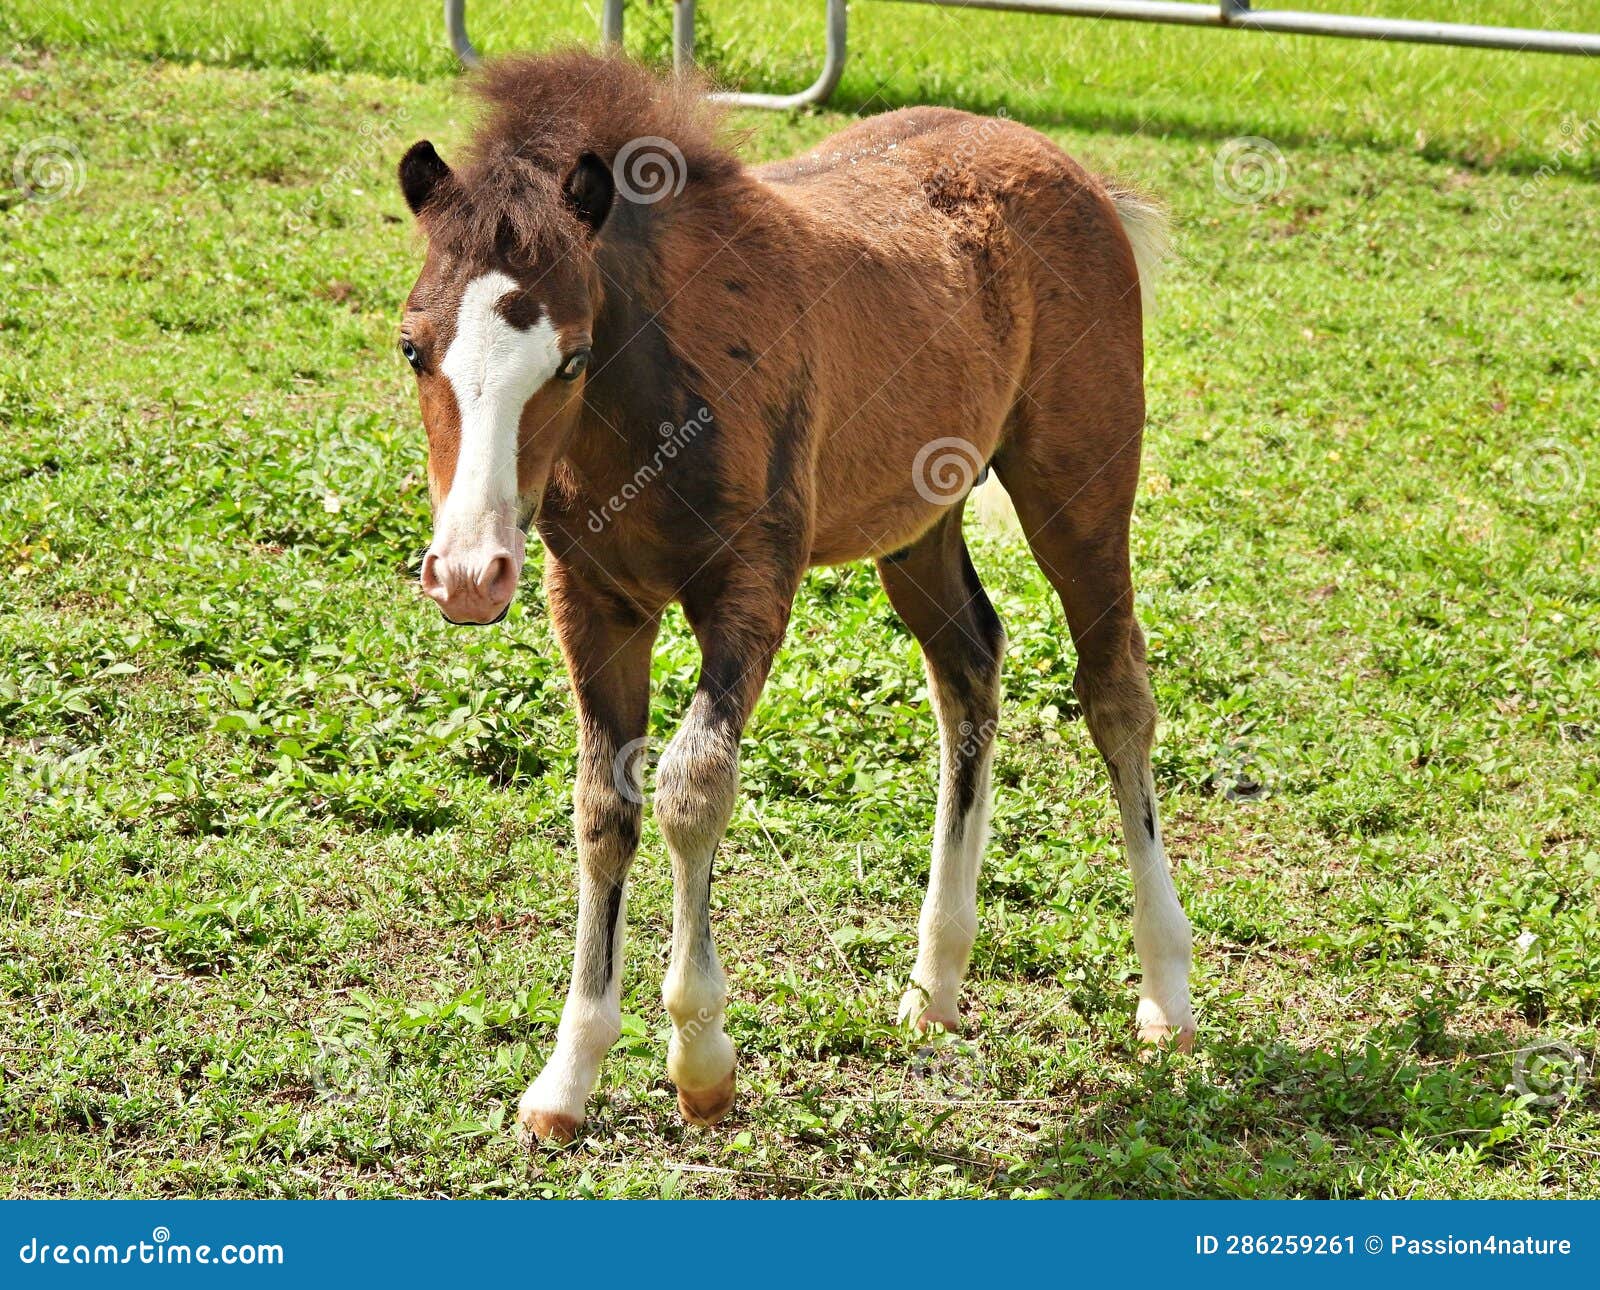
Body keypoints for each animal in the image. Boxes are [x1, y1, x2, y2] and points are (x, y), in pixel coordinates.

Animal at [394, 51, 1194, 1144]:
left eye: (571, 357)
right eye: (412, 348)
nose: (470, 573)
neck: (645, 409)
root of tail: (1072, 171)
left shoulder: (751, 585)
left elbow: (693, 787)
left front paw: (701, 1062)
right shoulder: (593, 601)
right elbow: (604, 806)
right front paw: (567, 1078)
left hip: (1080, 486)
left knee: (1115, 692)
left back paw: (1166, 994)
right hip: (919, 514)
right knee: (969, 670)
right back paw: (935, 983)